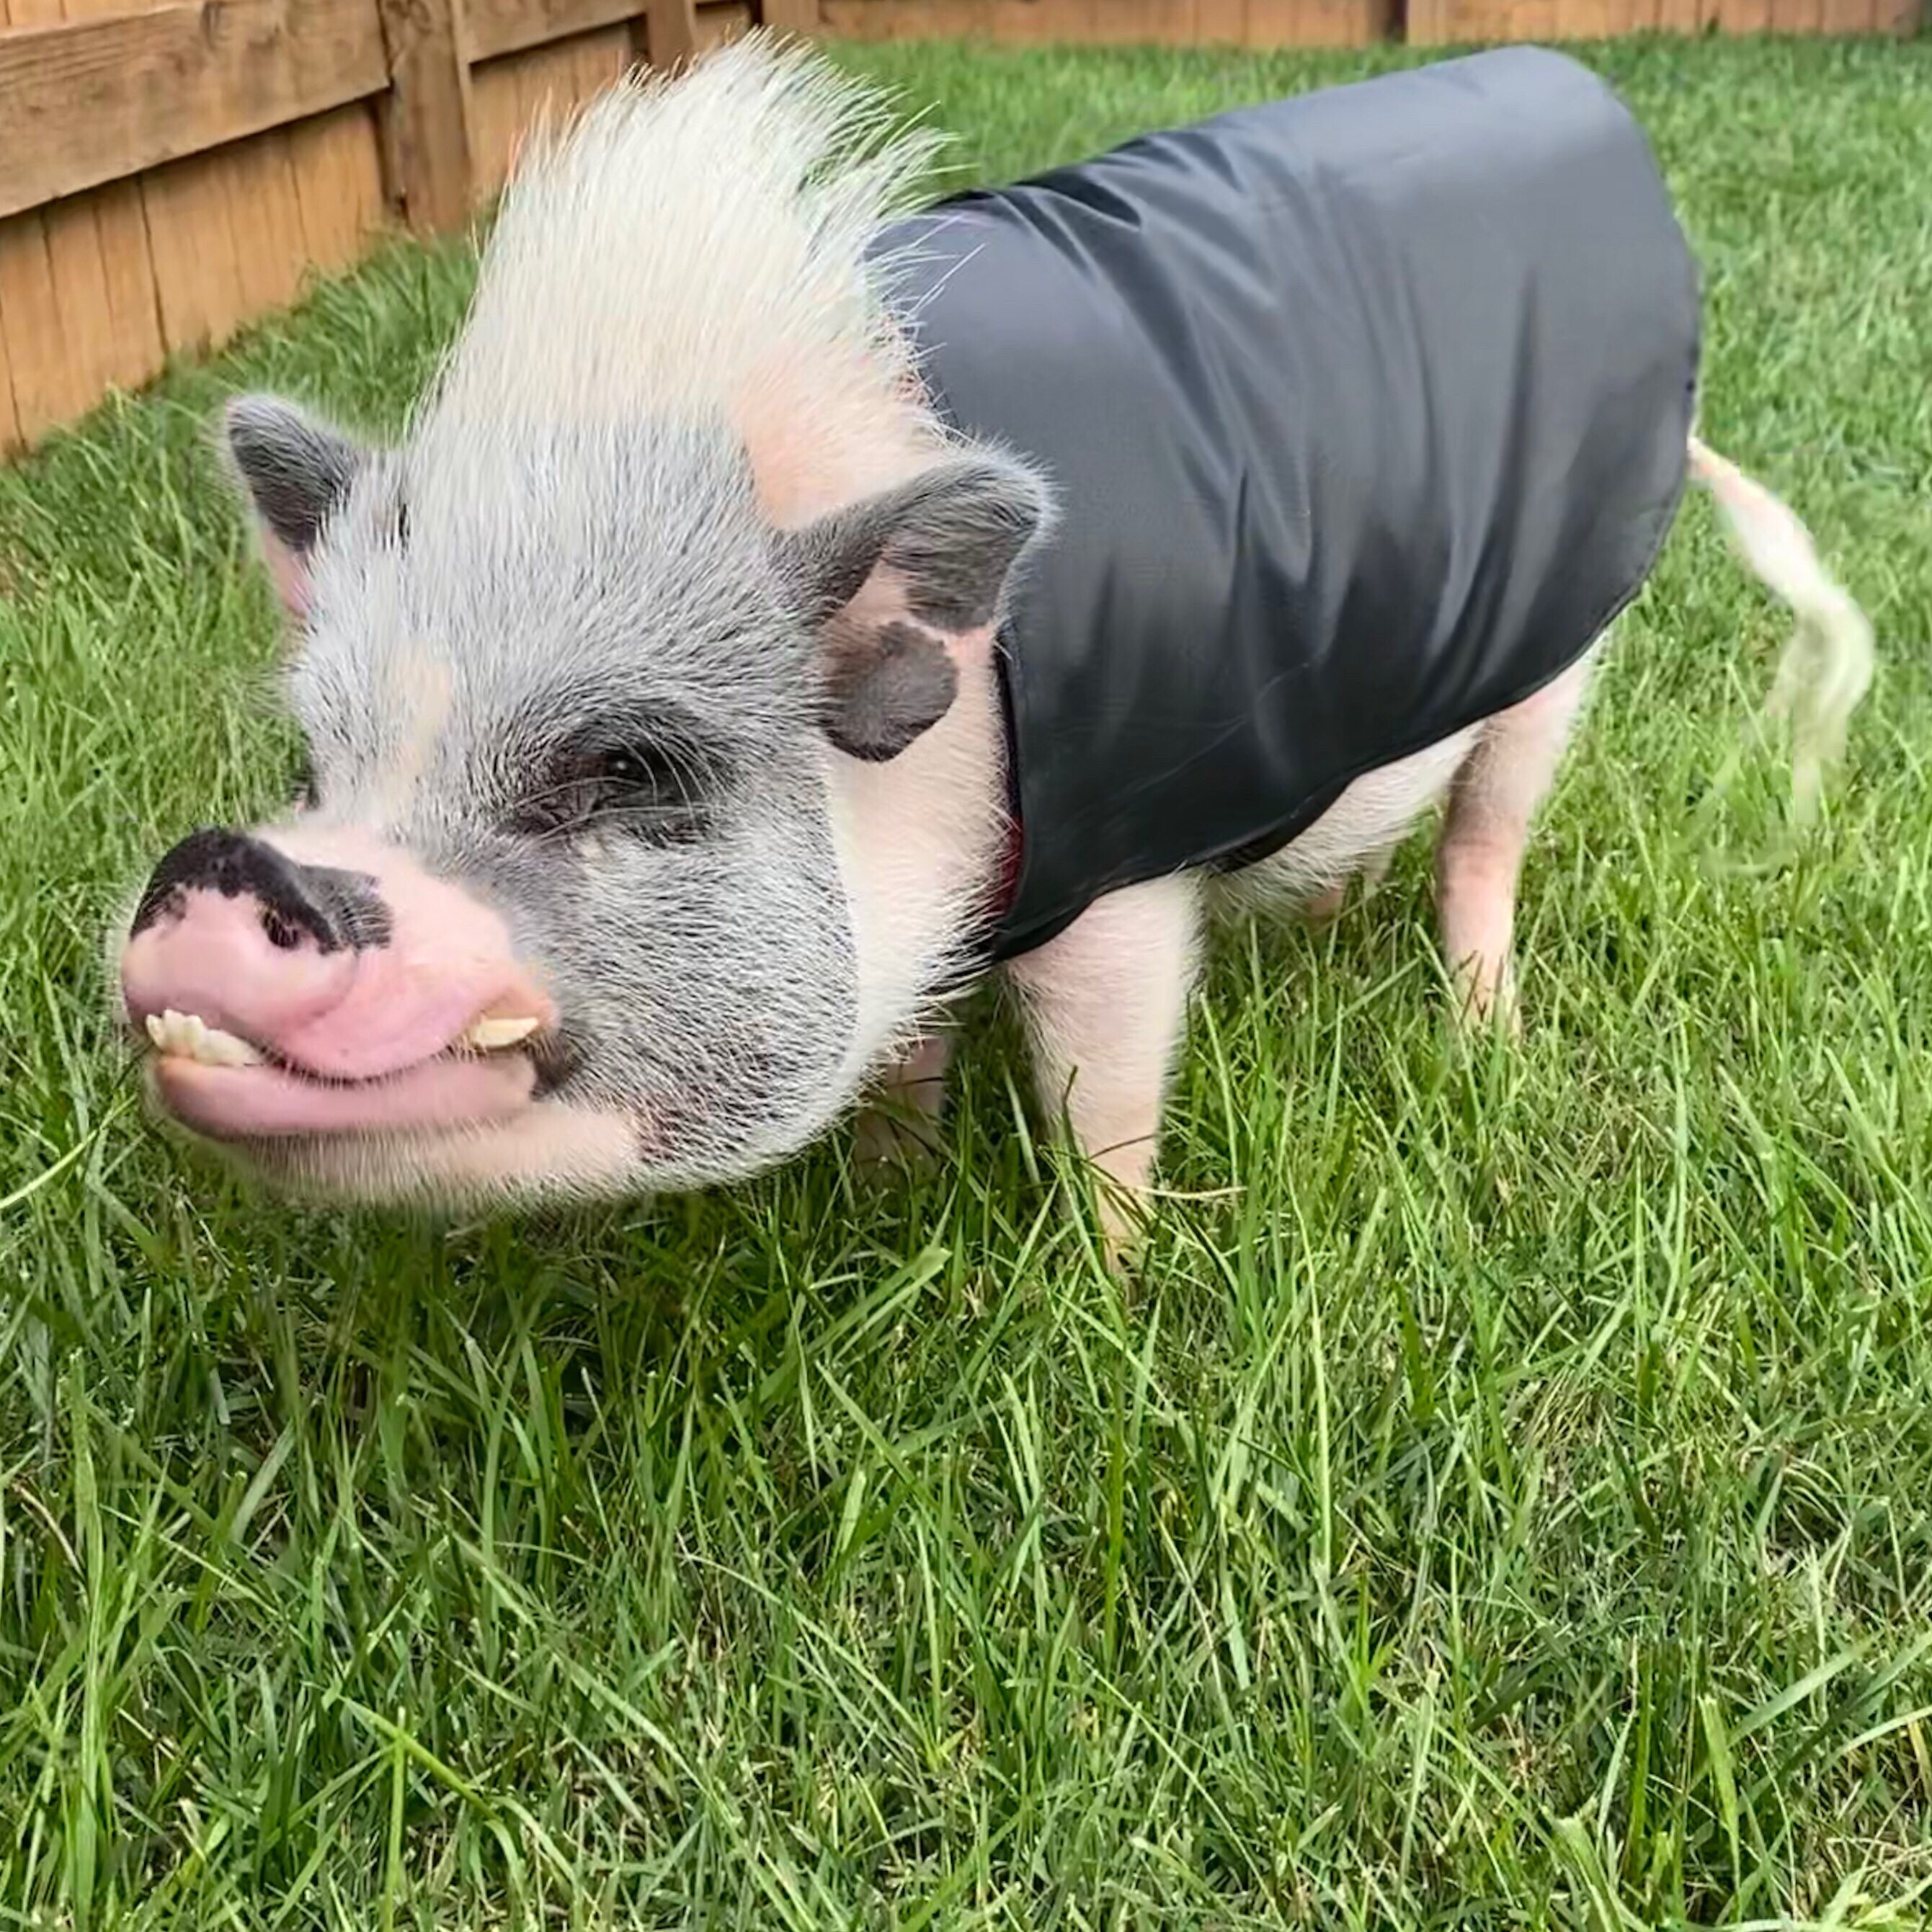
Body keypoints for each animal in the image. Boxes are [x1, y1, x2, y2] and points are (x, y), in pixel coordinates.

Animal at [114, 37, 1872, 1251]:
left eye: (628, 767)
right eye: (315, 759)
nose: (224, 861)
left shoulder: (1117, 882)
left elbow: (1105, 1085)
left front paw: (1112, 1280)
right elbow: (903, 1060)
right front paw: (890, 1194)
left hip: (1563, 656)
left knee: (1490, 836)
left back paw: (1478, 1023)